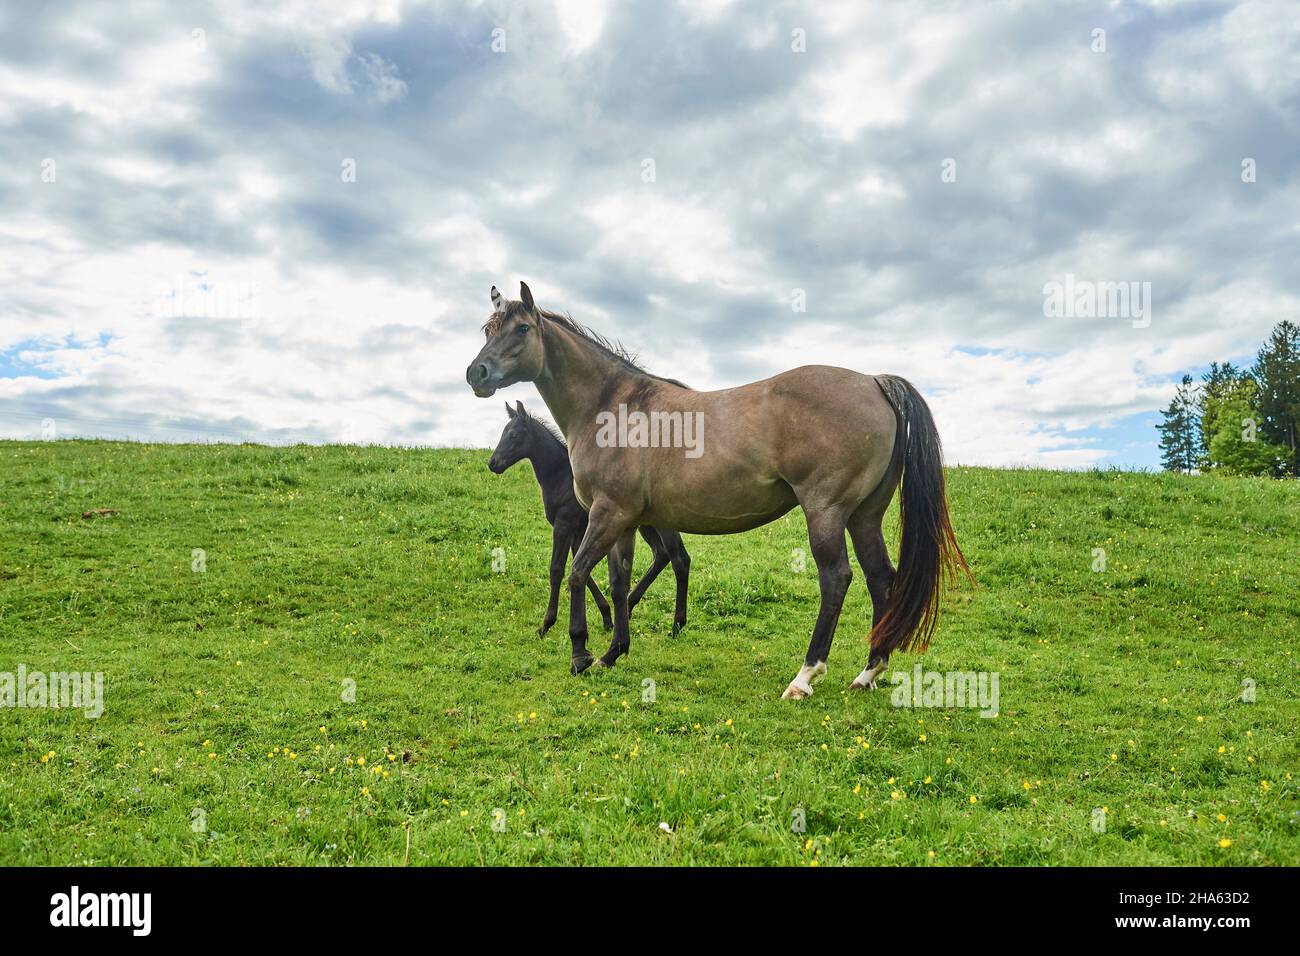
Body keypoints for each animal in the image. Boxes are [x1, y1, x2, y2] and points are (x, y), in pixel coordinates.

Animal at [488, 399, 691, 637]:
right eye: (503, 432)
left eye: (513, 435)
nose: (493, 463)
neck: (561, 477)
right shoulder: (578, 531)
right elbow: (581, 570)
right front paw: (607, 617)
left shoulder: (563, 525)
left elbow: (557, 569)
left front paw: (546, 624)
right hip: (644, 526)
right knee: (661, 555)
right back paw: (630, 605)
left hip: (663, 525)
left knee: (680, 560)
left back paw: (676, 626)